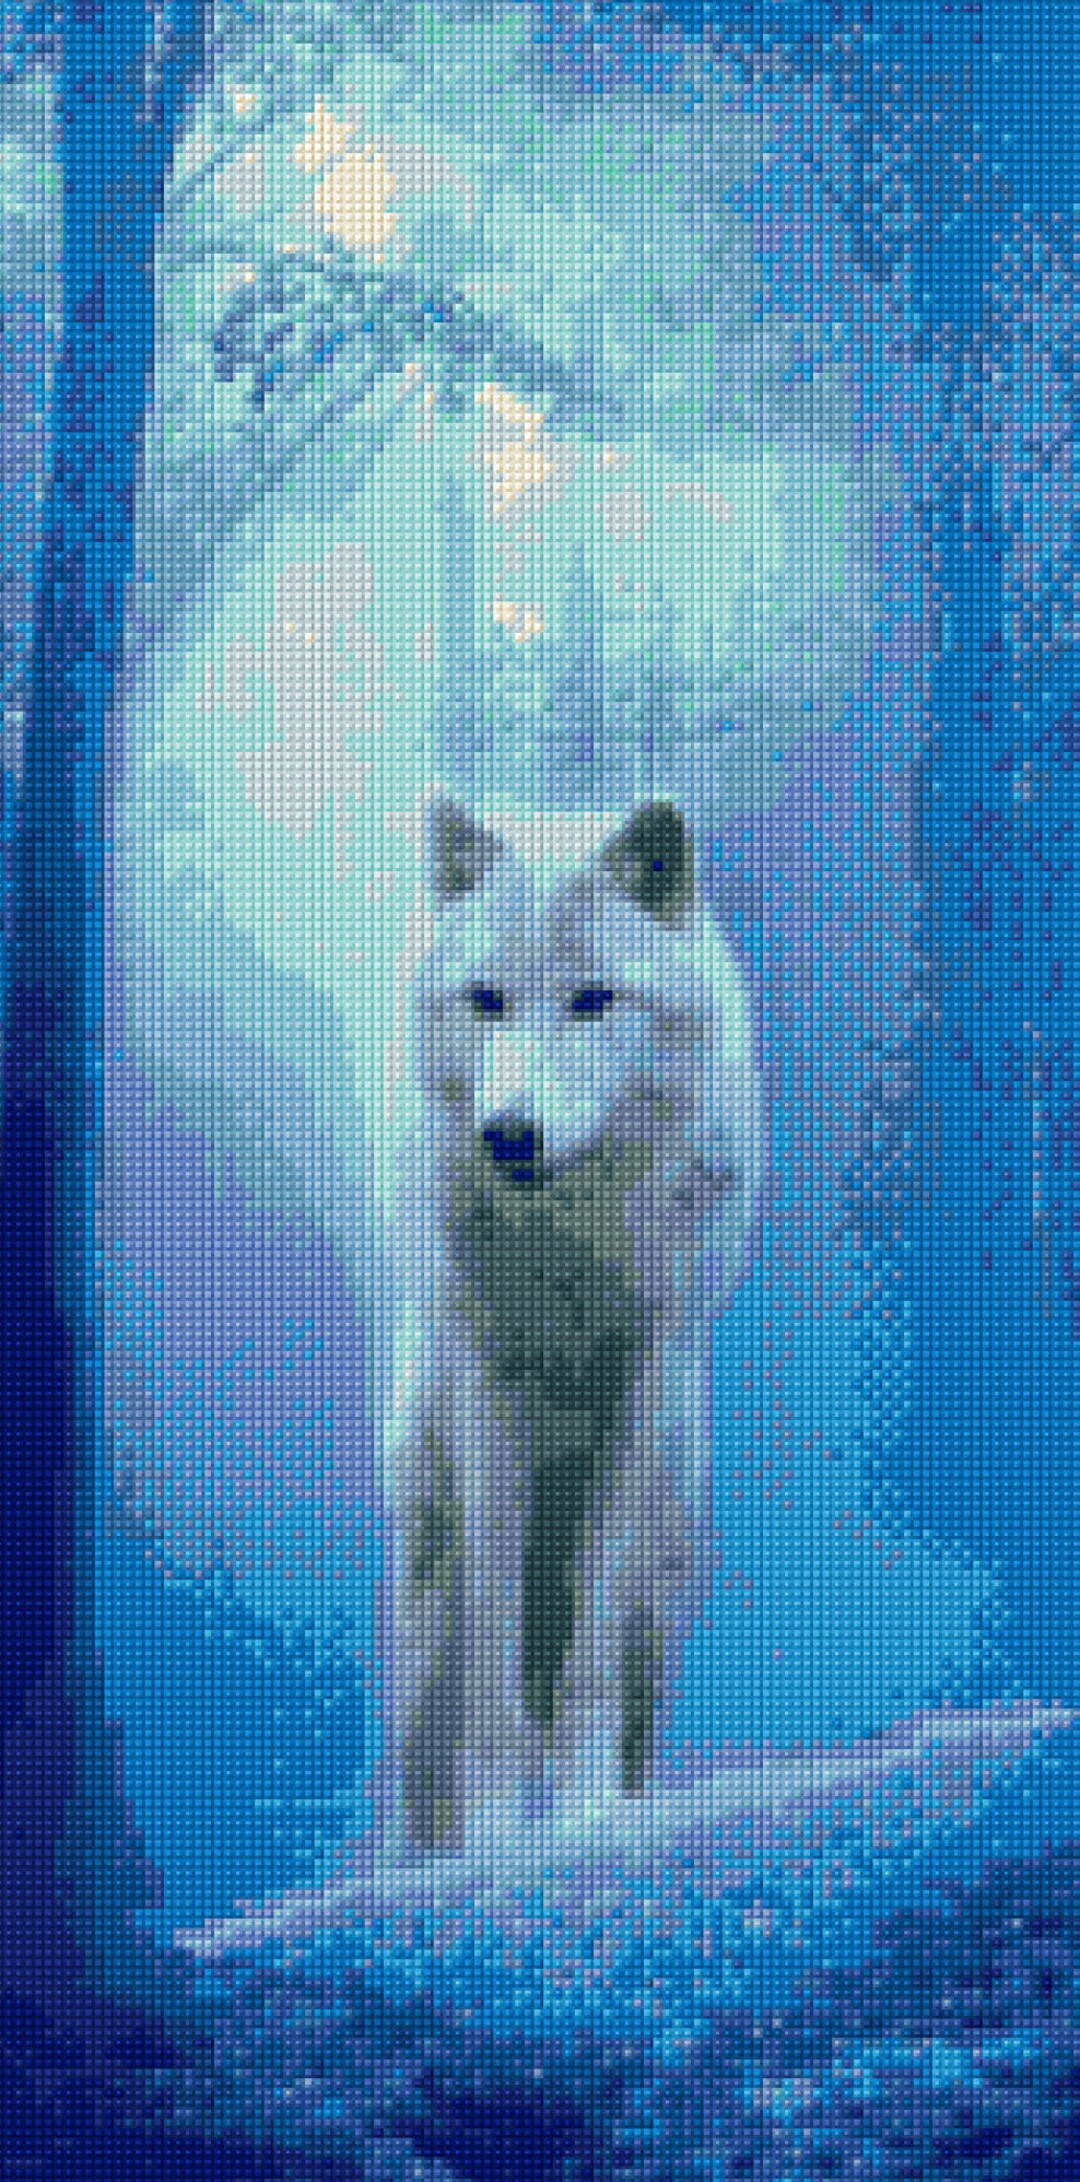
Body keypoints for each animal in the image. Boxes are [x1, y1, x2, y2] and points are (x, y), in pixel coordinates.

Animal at [381, 795, 761, 1856]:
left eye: (593, 1000)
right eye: (488, 1001)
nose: (510, 1133)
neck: (570, 1236)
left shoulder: (644, 1369)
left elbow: (585, 1662)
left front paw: (585, 1815)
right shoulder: (485, 1381)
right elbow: (495, 1675)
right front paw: (500, 1834)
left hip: (668, 1546)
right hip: (425, 1560)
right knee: (413, 1768)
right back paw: (412, 1863)